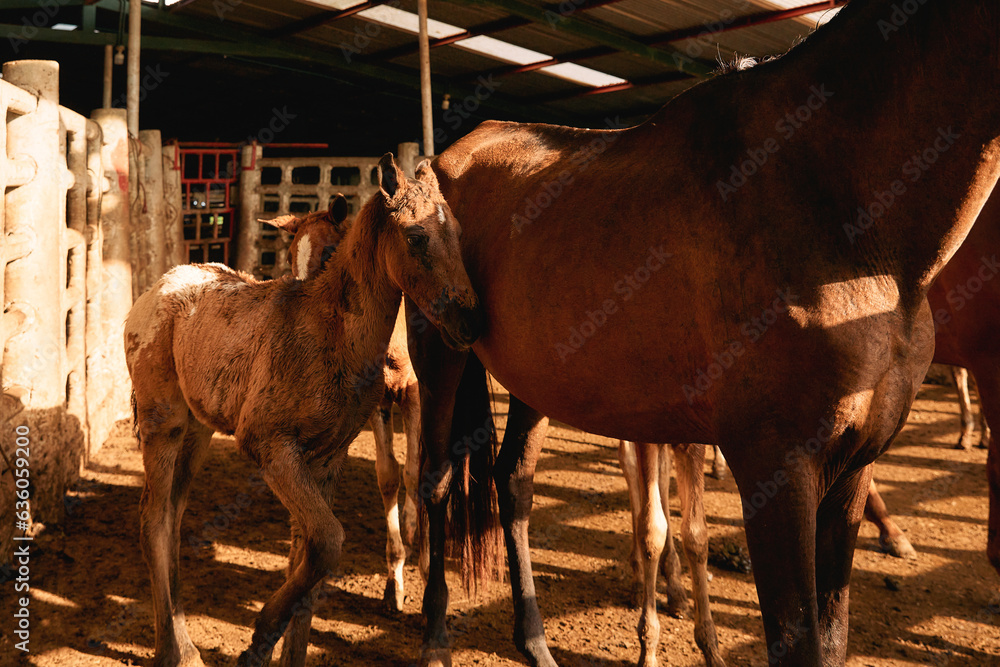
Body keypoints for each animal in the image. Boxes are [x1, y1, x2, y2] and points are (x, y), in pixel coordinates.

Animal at [267, 201, 425, 612]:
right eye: (290, 257)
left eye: (328, 254)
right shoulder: (376, 401)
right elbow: (388, 475)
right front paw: (394, 581)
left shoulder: (415, 391)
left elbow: (415, 471)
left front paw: (419, 539)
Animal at [407, 1, 1000, 665]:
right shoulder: (778, 473)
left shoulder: (853, 469)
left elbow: (832, 636)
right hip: (440, 355)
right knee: (435, 482)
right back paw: (436, 636)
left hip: (534, 381)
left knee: (514, 484)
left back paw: (534, 641)